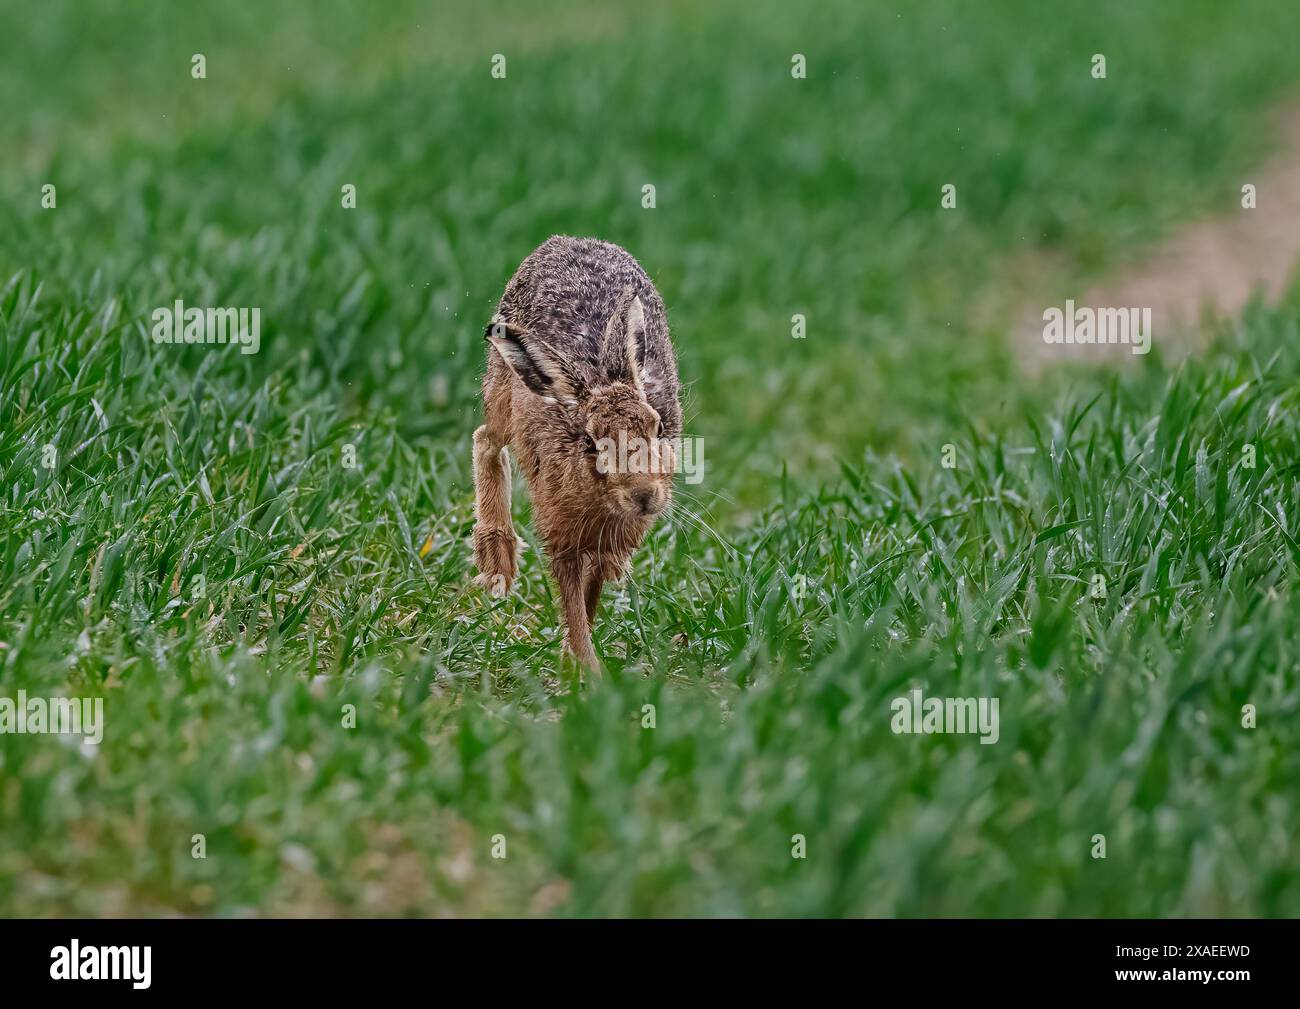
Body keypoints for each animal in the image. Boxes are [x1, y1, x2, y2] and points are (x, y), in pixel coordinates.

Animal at [472, 235, 682, 670]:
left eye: (657, 428)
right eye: (589, 442)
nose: (644, 496)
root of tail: (564, 241)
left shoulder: (610, 543)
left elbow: (591, 594)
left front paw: (573, 658)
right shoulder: (561, 535)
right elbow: (572, 601)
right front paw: (585, 669)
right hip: (505, 387)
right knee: (487, 440)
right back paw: (497, 556)